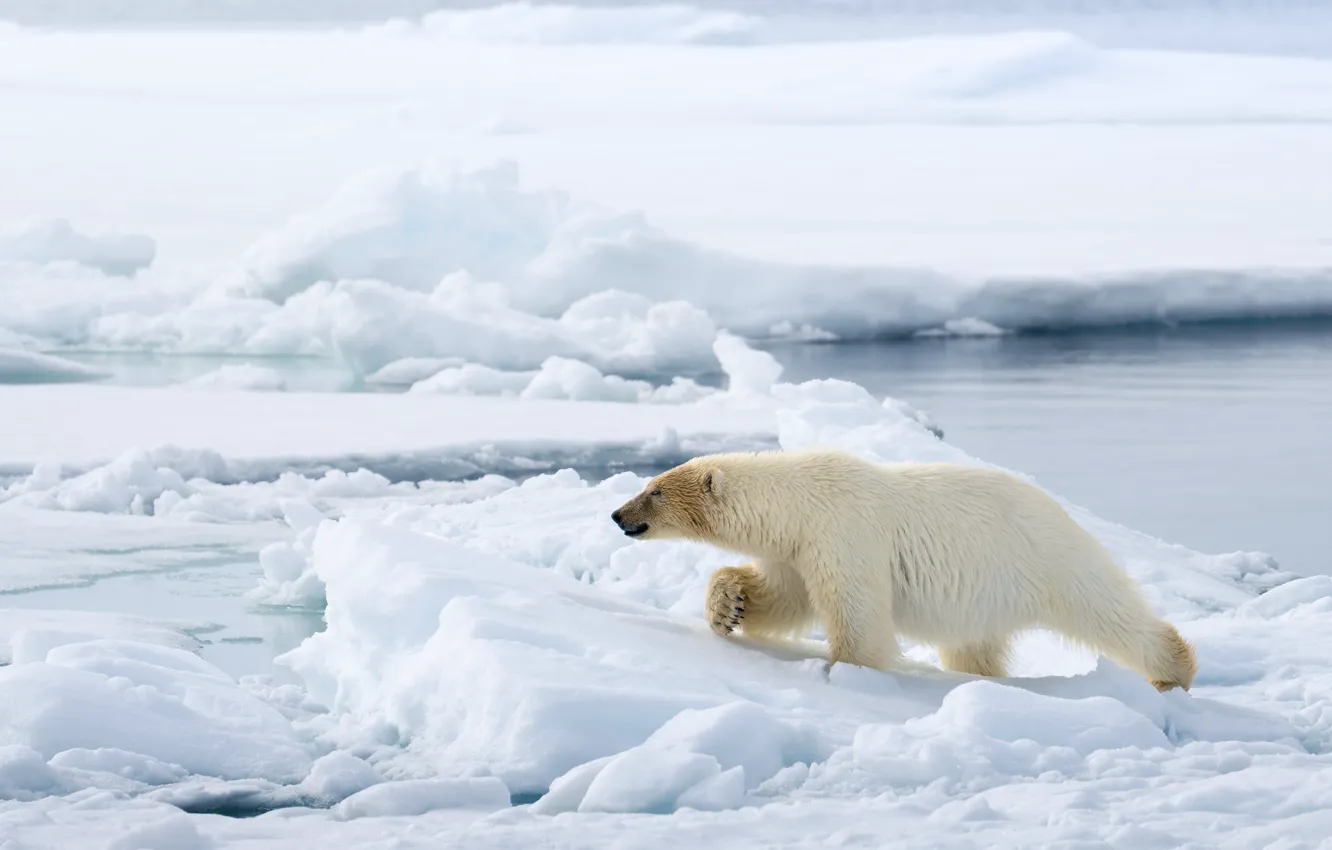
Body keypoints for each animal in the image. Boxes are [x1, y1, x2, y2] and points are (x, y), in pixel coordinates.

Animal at [610, 447, 1196, 692]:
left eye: (654, 490)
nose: (618, 515)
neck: (800, 497)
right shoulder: (798, 549)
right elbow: (783, 597)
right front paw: (727, 605)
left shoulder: (843, 533)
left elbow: (857, 614)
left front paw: (850, 672)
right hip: (983, 601)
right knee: (972, 648)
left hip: (1044, 560)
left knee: (1108, 614)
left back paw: (1174, 670)